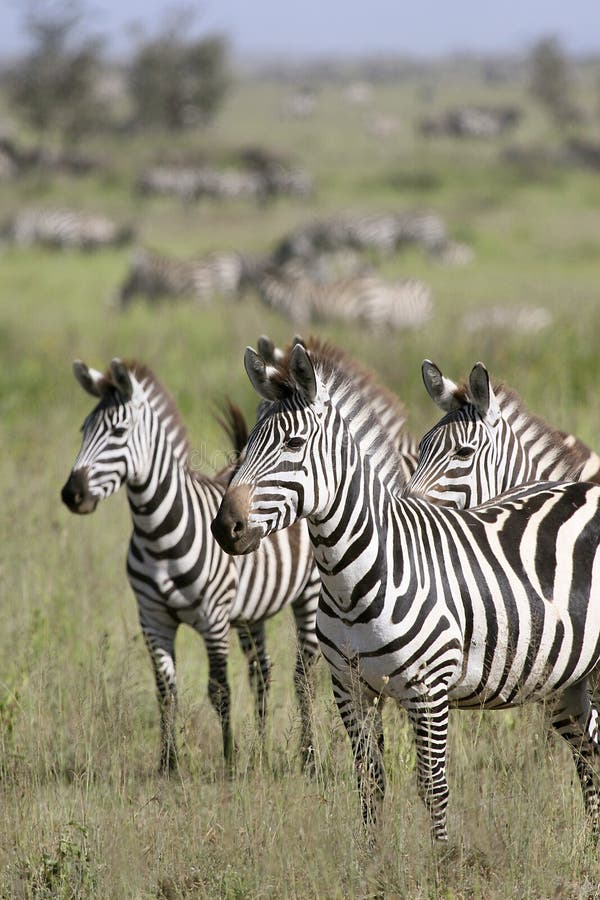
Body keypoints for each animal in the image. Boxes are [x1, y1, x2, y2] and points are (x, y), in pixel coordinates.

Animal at [60, 358, 321, 772]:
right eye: (83, 430)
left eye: (118, 431)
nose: (72, 494)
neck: (157, 534)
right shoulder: (153, 620)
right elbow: (165, 691)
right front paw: (168, 764)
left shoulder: (213, 618)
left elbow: (219, 691)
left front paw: (229, 762)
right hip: (250, 613)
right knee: (261, 674)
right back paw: (262, 753)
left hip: (308, 594)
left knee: (304, 675)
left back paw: (308, 759)